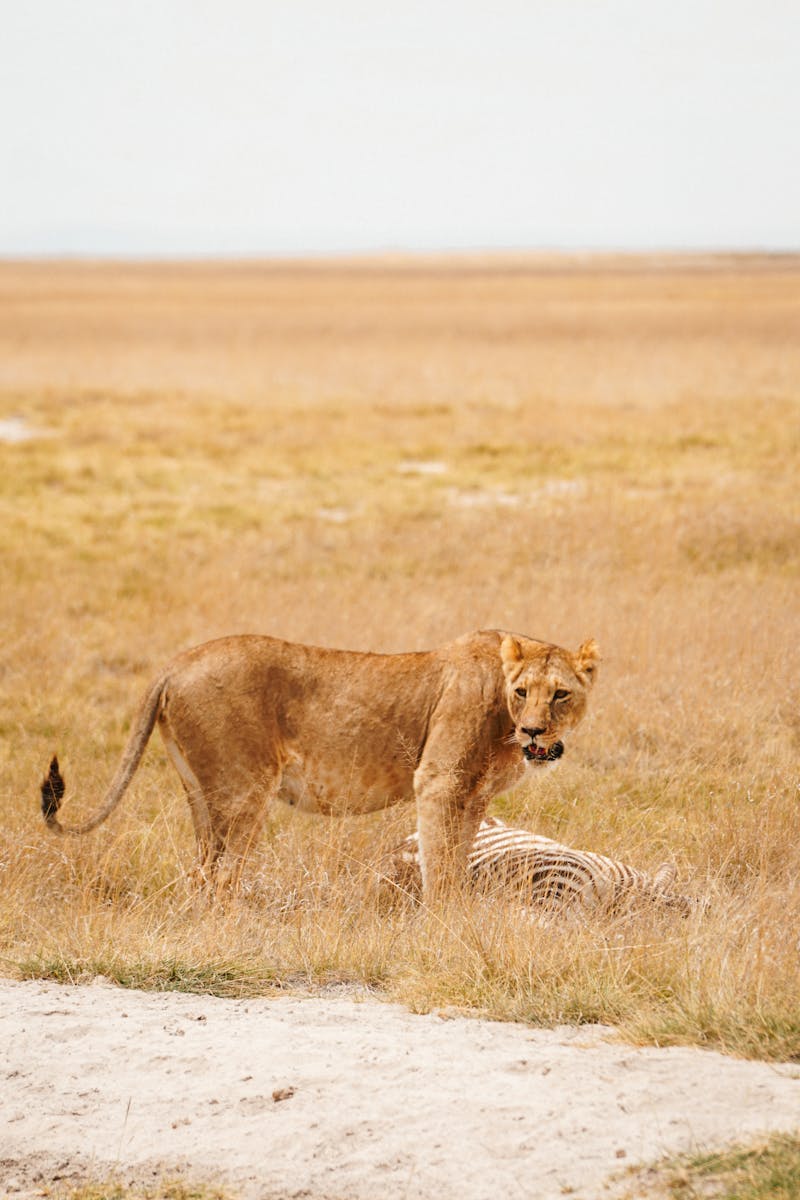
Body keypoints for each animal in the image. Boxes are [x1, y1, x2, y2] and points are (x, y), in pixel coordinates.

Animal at [40, 629, 599, 898]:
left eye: (561, 695)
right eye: (522, 691)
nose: (534, 731)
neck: (503, 716)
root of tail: (175, 663)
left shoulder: (472, 797)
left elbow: (456, 863)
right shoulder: (439, 782)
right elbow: (440, 869)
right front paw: (445, 927)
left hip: (202, 793)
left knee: (202, 872)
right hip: (246, 791)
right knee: (221, 877)